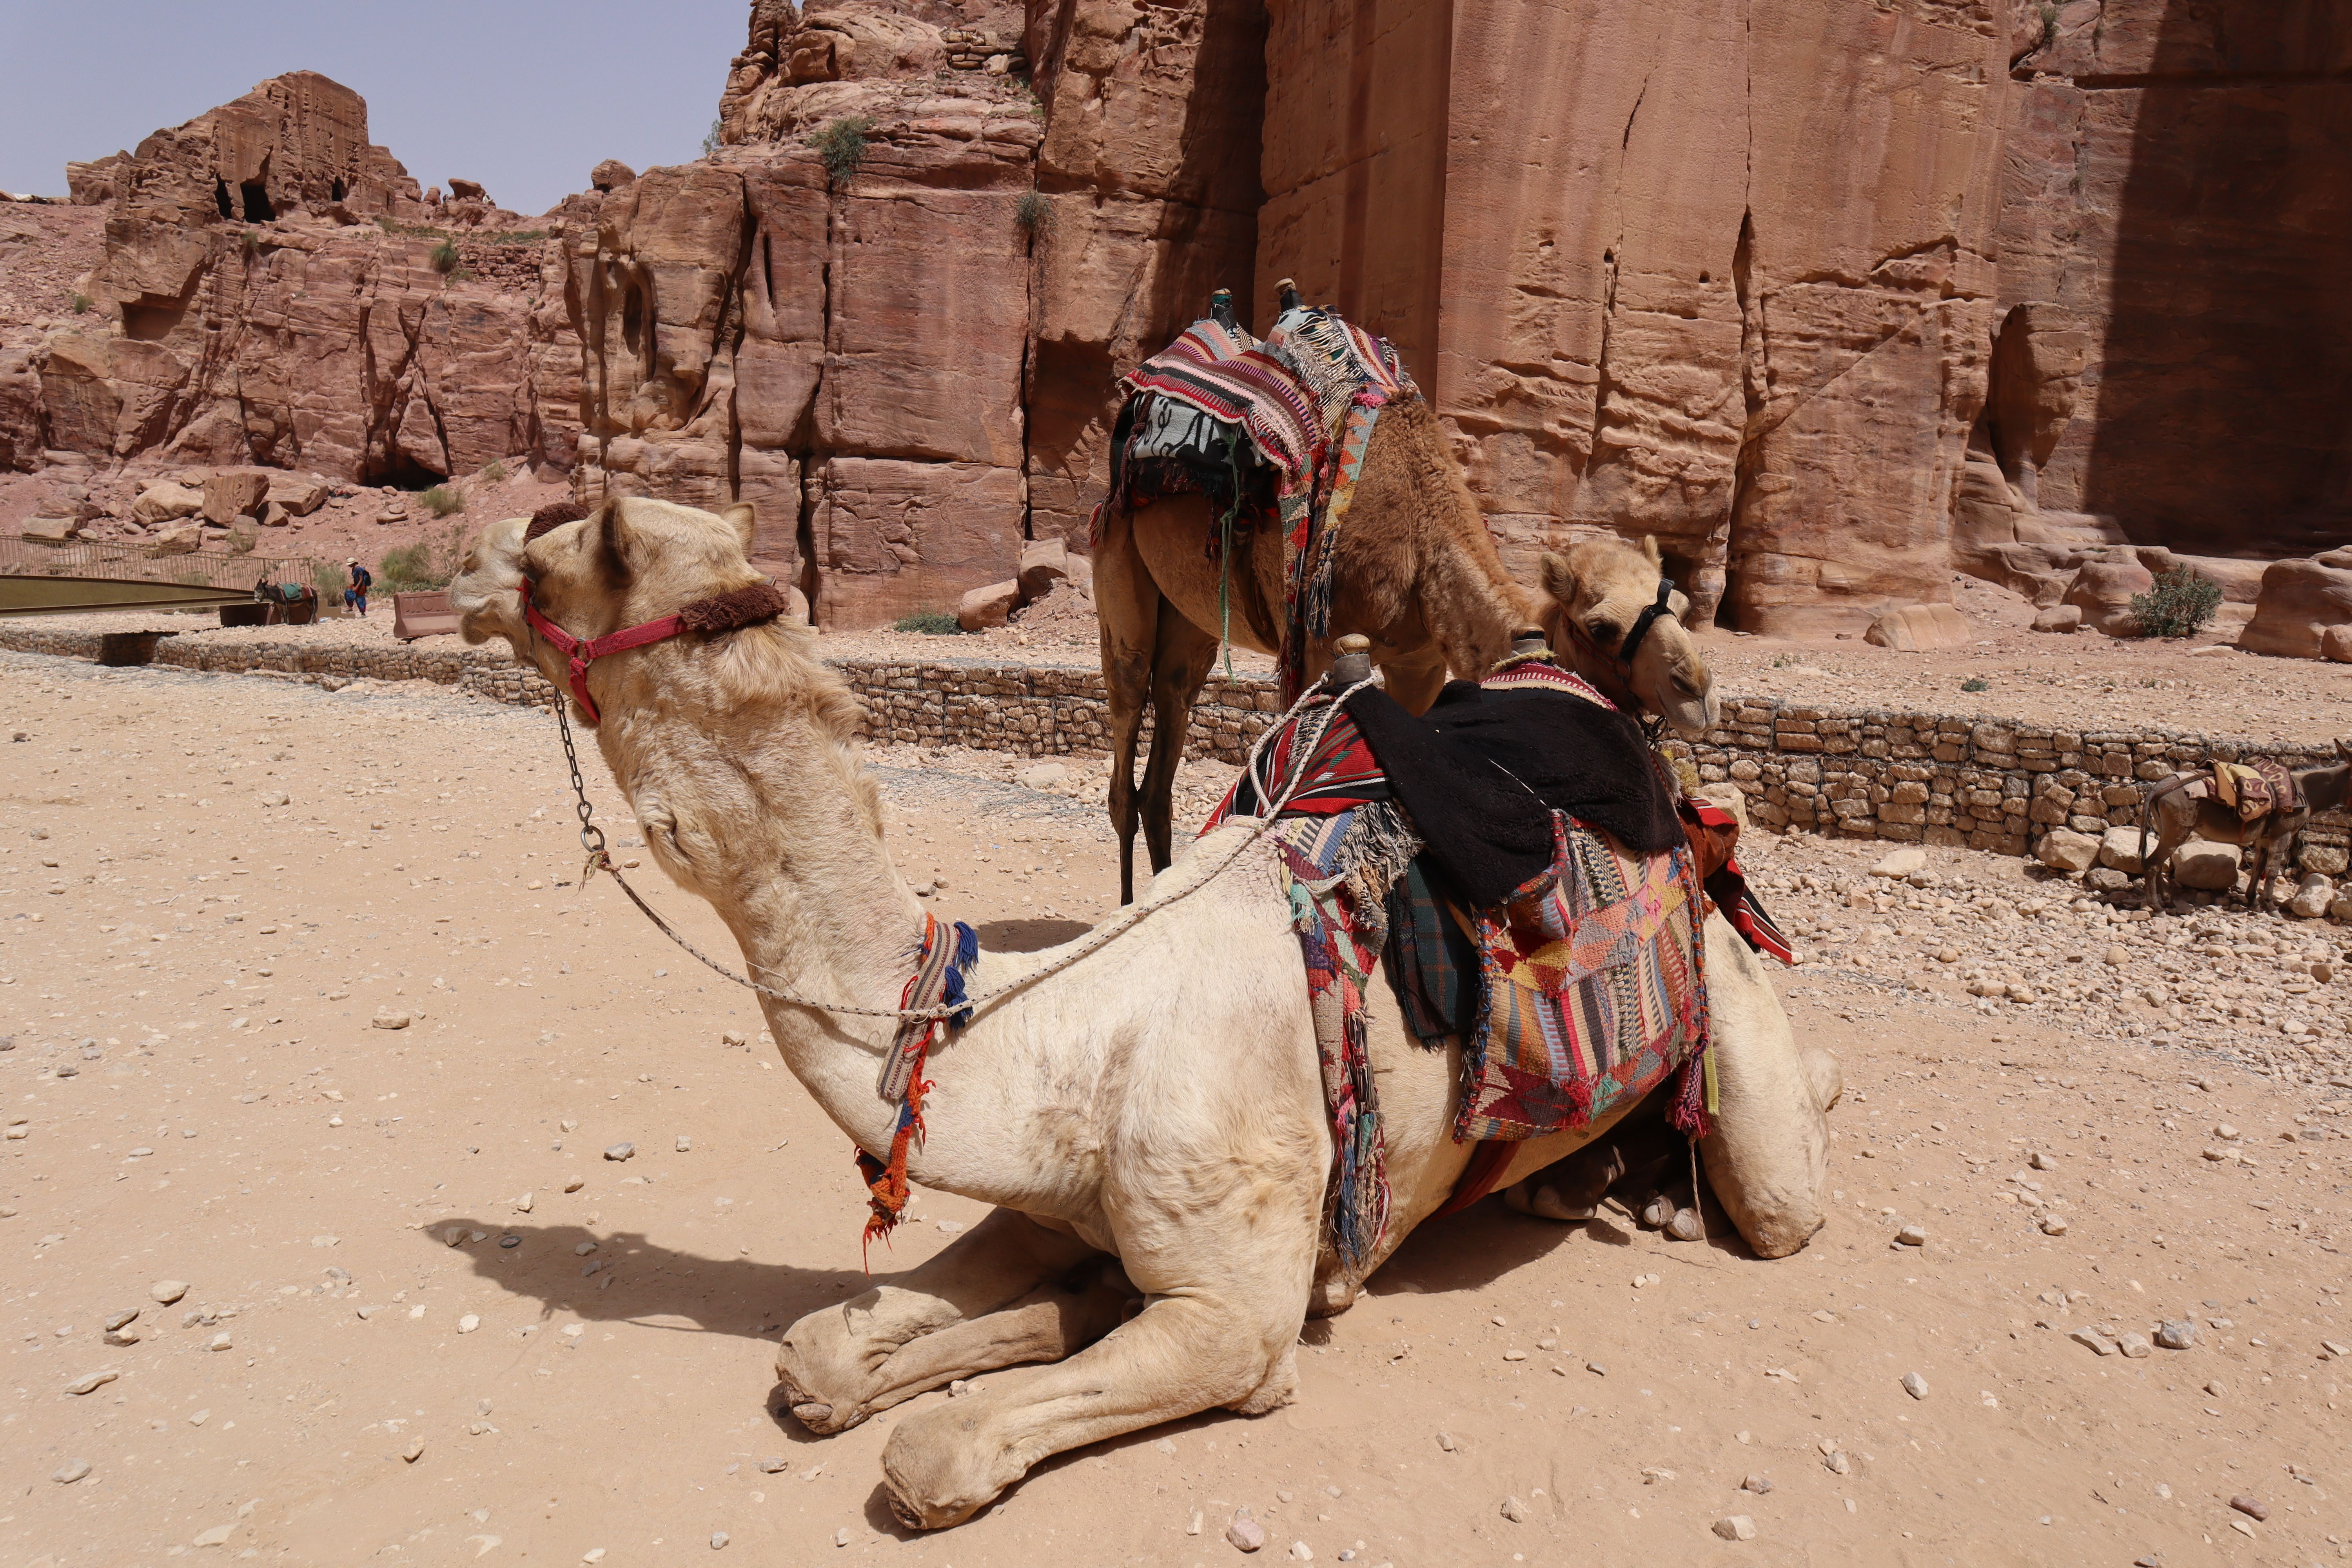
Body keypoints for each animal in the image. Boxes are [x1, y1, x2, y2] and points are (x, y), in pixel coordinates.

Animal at [450, 495, 1838, 1531]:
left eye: (550, 558)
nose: (466, 567)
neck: (1069, 1039)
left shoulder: (1233, 1320)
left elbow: (936, 1449)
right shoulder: (1042, 1200)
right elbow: (822, 1352)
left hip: (1732, 1000)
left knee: (1785, 1185)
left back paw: (1674, 1185)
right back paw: (1591, 1177)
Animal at [2137, 739, 2352, 913]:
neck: (2302, 791)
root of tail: (2158, 787)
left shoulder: (2264, 838)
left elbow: (2258, 868)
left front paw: (2253, 901)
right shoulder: (2282, 836)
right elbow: (2272, 872)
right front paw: (2271, 906)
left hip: (2165, 830)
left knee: (2158, 863)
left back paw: (2167, 901)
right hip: (2178, 831)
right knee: (2153, 864)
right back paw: (2157, 907)